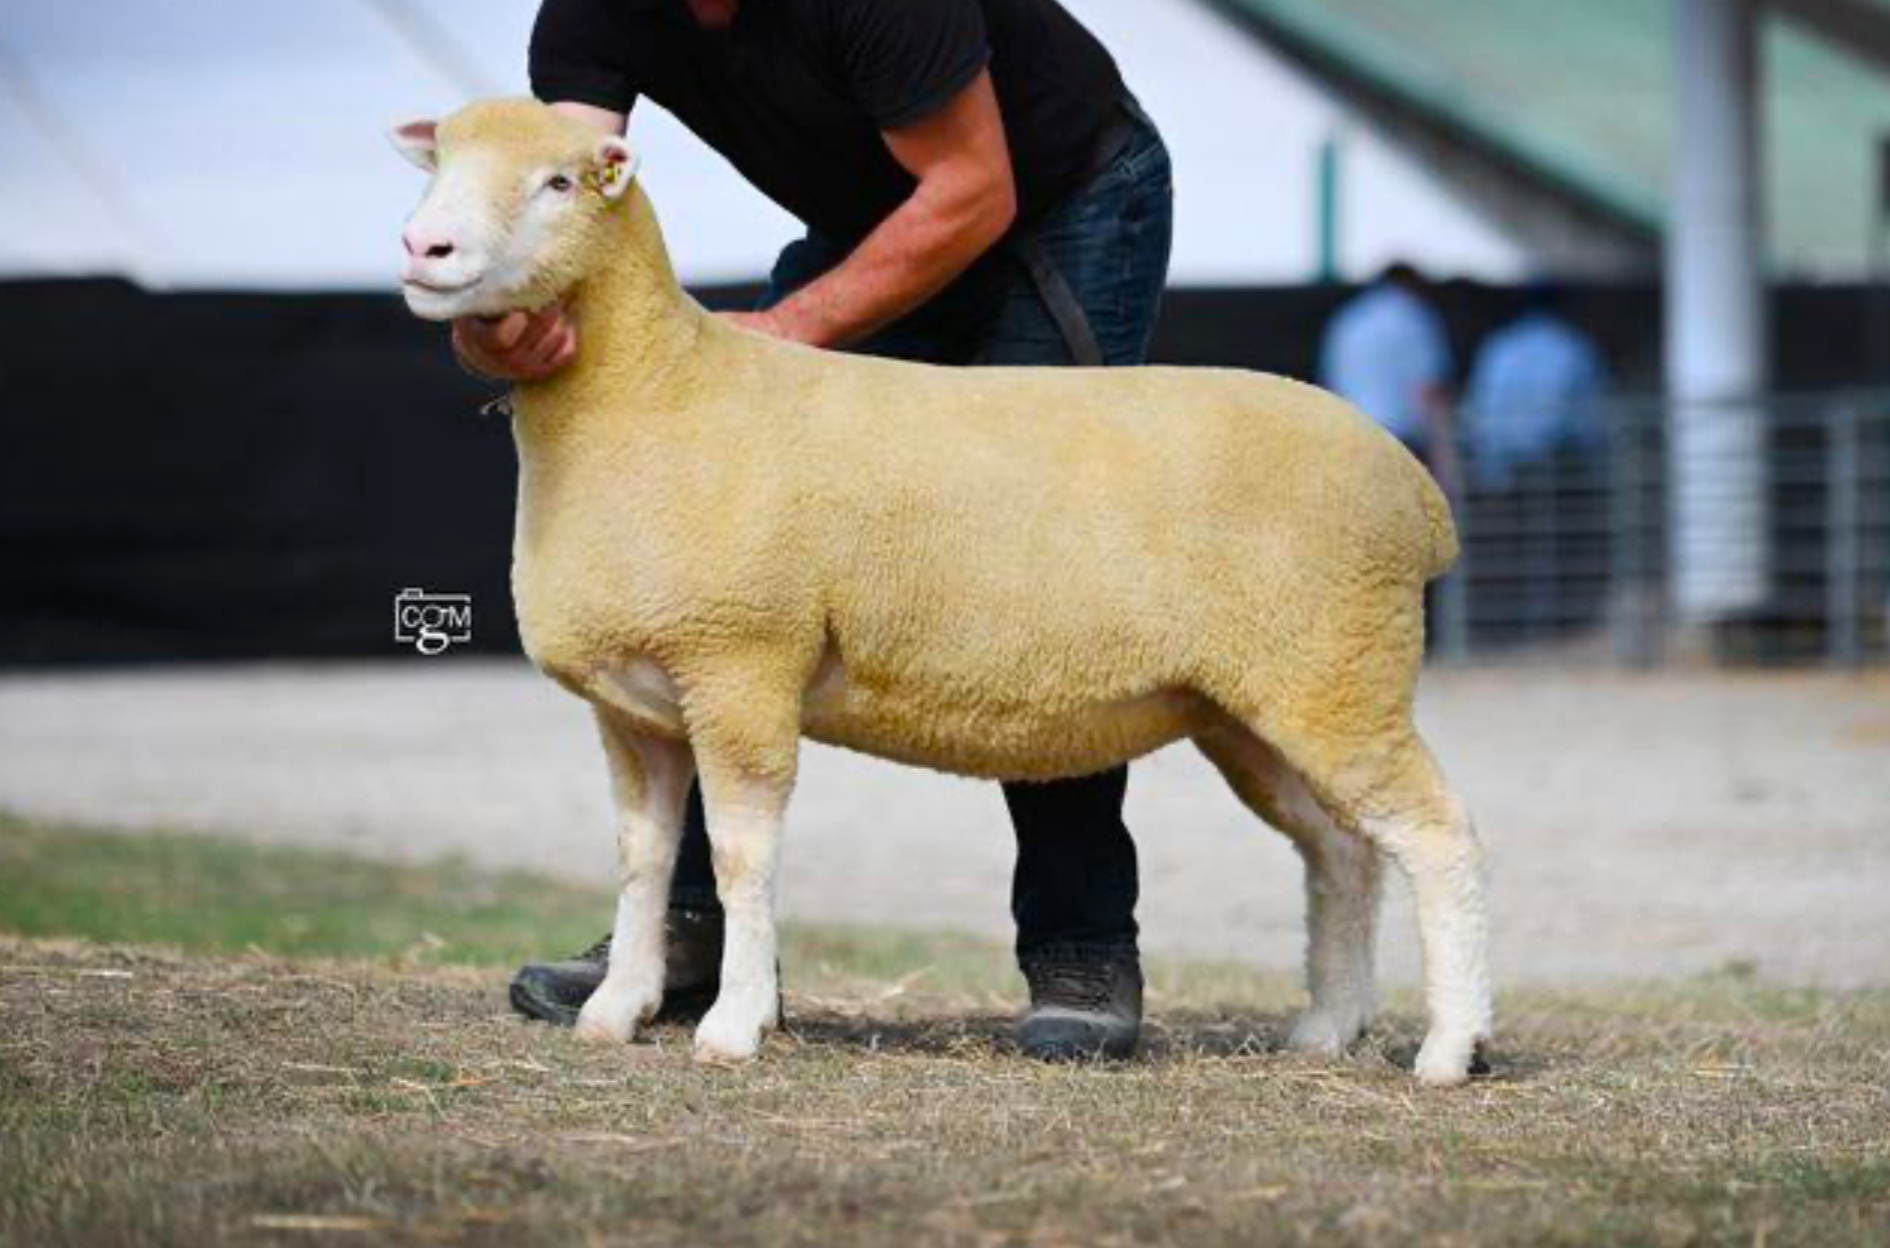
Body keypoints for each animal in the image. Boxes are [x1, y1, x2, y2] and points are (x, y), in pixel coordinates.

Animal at [390, 99, 1492, 1085]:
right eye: (437, 164)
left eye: (559, 183)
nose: (423, 244)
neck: (658, 391)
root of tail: (1418, 494)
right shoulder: (638, 705)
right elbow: (644, 858)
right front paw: (619, 1006)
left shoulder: (742, 665)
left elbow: (743, 859)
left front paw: (734, 1026)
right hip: (1257, 705)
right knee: (1343, 852)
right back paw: (1329, 1028)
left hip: (1338, 668)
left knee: (1441, 839)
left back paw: (1450, 1049)